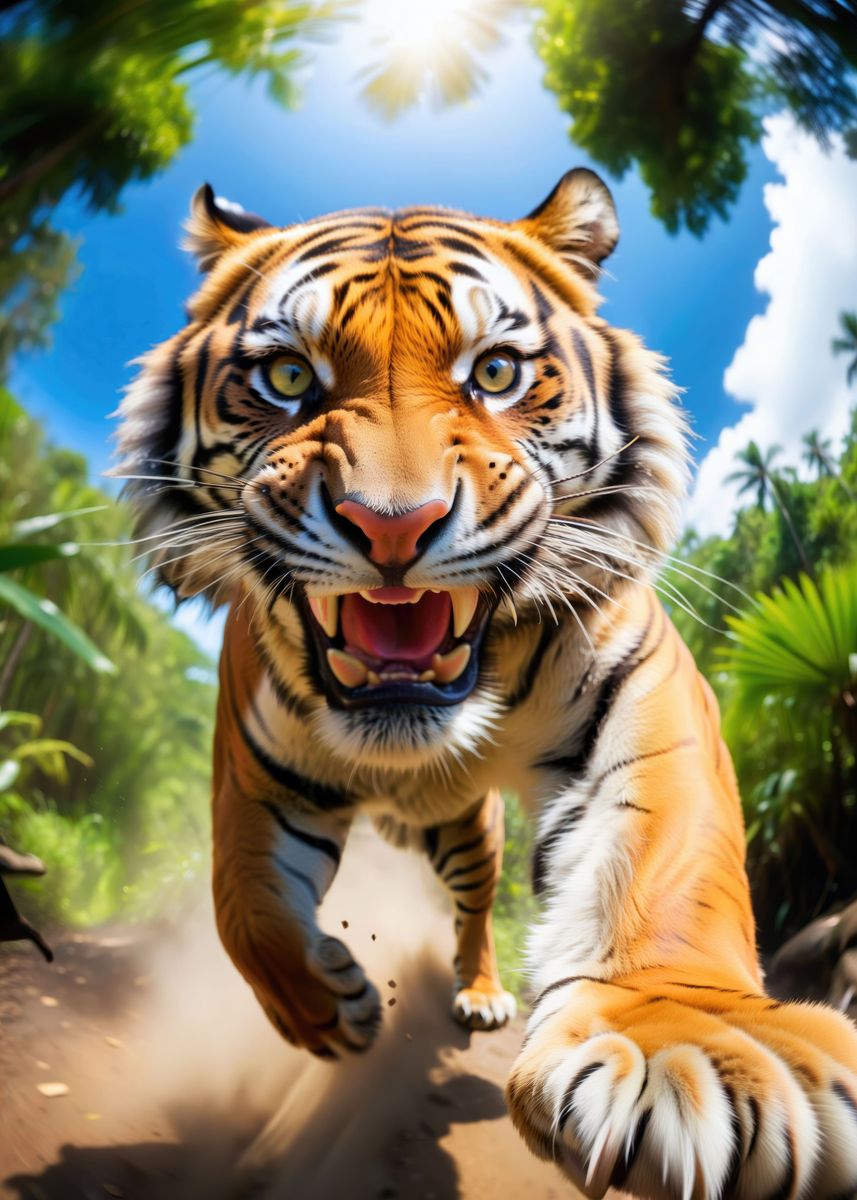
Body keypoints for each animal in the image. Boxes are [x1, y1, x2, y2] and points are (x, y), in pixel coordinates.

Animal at [115, 170, 857, 1199]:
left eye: (496, 372)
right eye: (290, 377)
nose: (391, 524)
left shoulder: (649, 694)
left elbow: (664, 864)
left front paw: (679, 1055)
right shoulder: (253, 774)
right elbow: (245, 907)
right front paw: (327, 1011)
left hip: (468, 836)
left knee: (471, 918)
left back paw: (476, 996)